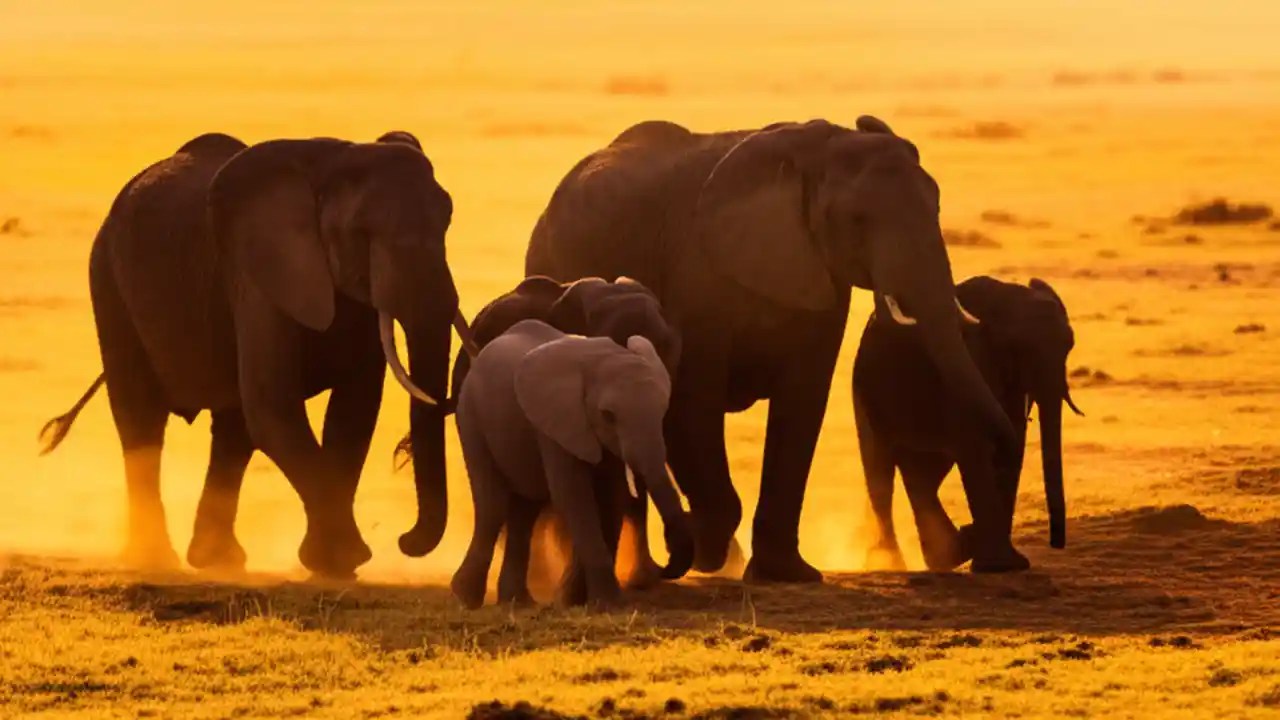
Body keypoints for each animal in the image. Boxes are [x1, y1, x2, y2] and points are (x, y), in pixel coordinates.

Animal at [38, 131, 474, 578]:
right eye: (362, 232)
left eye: (447, 220)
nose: (404, 540)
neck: (332, 161)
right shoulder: (254, 275)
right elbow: (274, 405)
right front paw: (347, 559)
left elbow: (354, 408)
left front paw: (330, 566)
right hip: (107, 277)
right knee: (140, 416)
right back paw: (157, 560)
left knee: (232, 428)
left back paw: (217, 560)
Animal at [450, 319, 694, 608]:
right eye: (608, 415)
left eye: (662, 411)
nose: (664, 562)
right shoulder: (557, 424)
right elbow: (574, 496)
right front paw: (607, 604)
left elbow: (610, 499)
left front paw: (577, 600)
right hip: (471, 415)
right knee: (493, 506)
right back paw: (466, 598)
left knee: (525, 510)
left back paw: (518, 602)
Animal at [525, 116, 1020, 582]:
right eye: (857, 221)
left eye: (936, 206)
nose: (969, 536)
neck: (818, 152)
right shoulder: (695, 274)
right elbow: (693, 396)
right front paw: (708, 554)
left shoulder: (821, 278)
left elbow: (803, 400)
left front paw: (786, 574)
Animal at [853, 276, 1082, 572]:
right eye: (1017, 348)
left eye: (1069, 344)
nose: (1057, 542)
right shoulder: (966, 371)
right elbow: (978, 445)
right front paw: (998, 565)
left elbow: (1011, 443)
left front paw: (1002, 561)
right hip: (864, 394)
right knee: (881, 470)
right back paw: (895, 564)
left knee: (922, 472)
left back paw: (946, 557)